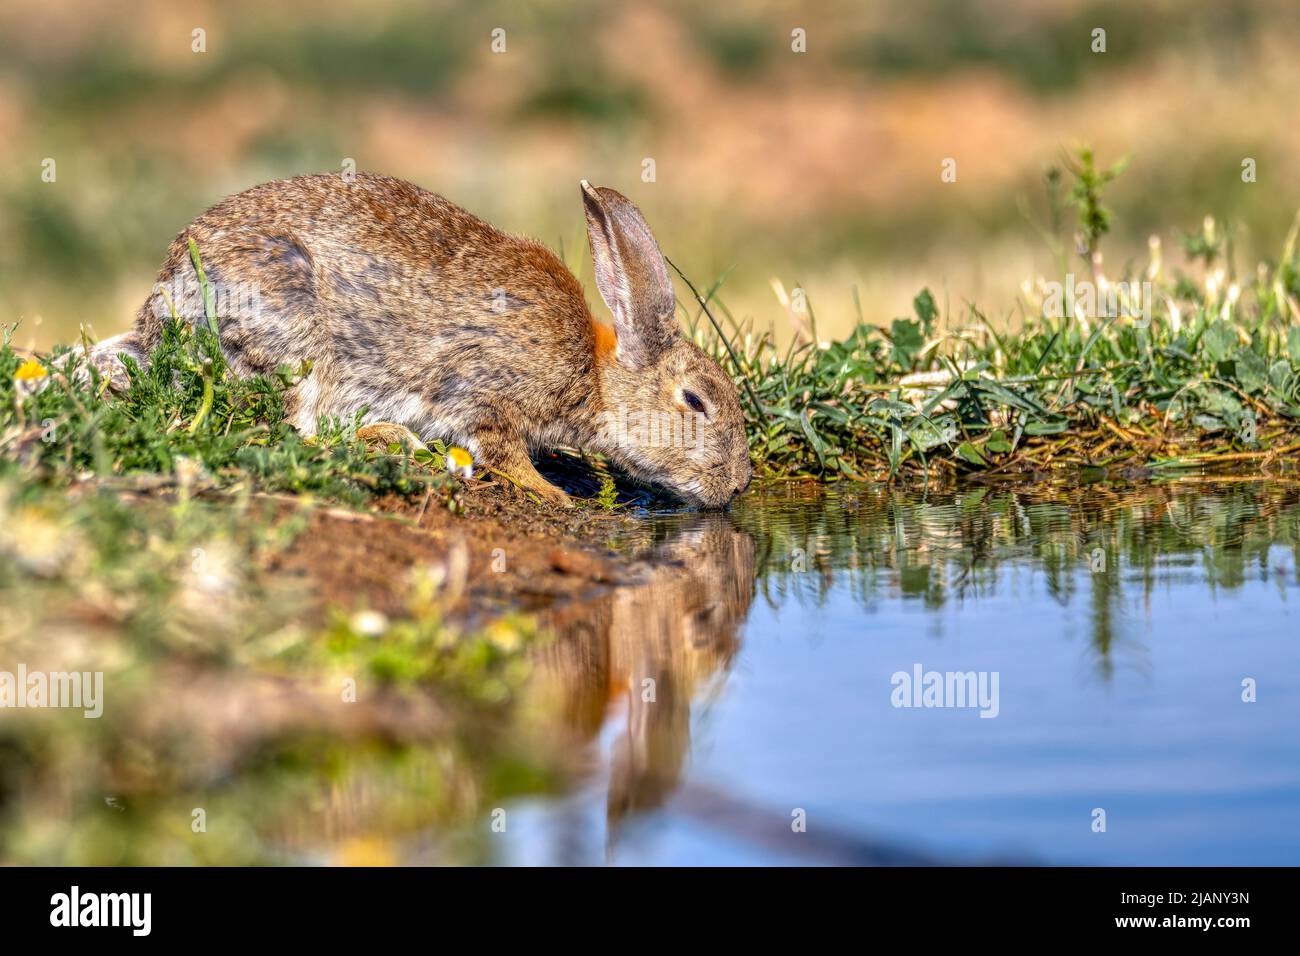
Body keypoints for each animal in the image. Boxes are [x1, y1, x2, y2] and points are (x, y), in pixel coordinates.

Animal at [94, 173, 751, 508]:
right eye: (696, 402)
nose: (738, 484)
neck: (593, 377)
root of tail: (160, 315)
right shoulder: (486, 391)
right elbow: (501, 451)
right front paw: (554, 494)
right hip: (297, 337)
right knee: (301, 429)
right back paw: (395, 441)